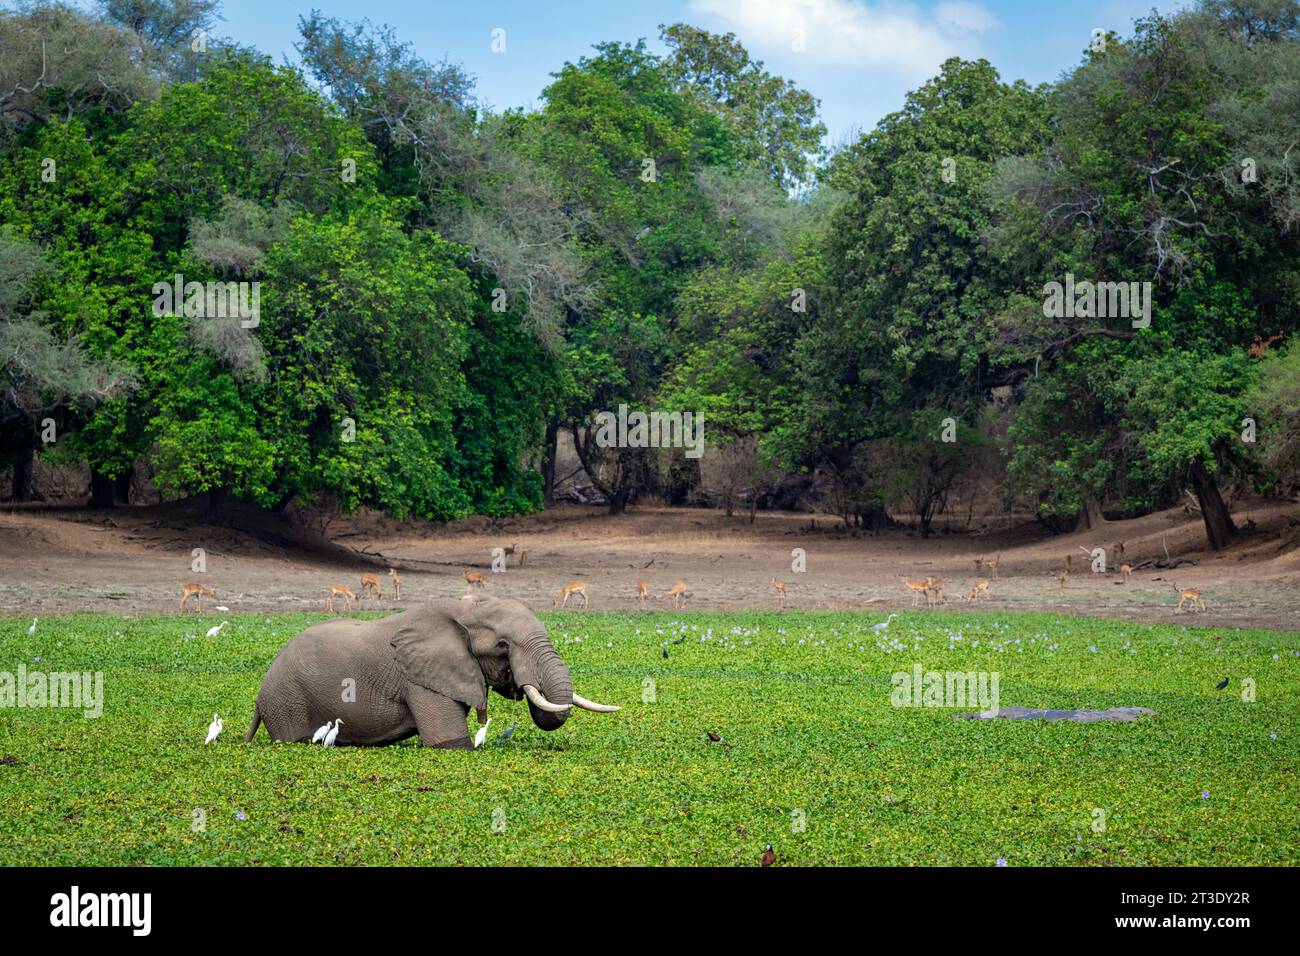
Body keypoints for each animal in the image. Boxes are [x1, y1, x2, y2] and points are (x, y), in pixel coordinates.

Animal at [245, 596, 619, 749]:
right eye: (502, 645)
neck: (465, 610)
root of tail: (260, 698)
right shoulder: (419, 680)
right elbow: (450, 743)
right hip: (287, 701)